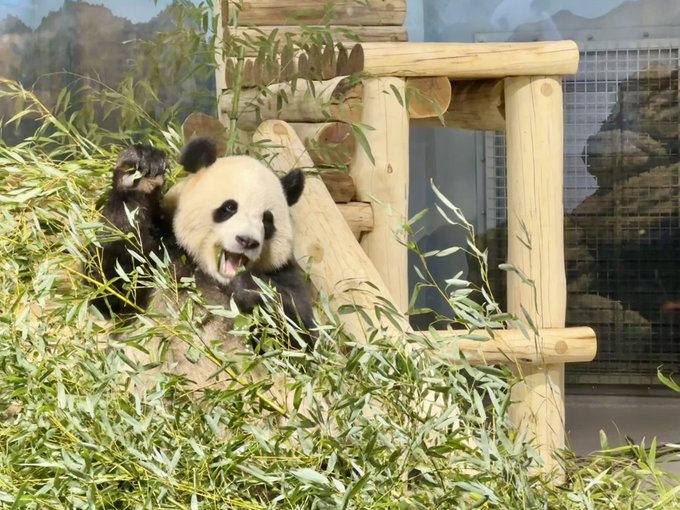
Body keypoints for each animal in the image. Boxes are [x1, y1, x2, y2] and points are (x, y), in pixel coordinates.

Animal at [89, 137, 315, 389]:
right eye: (229, 207)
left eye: (267, 219)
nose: (247, 241)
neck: (212, 276)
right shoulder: (164, 251)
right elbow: (109, 288)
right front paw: (143, 172)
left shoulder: (284, 273)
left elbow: (299, 339)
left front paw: (247, 287)